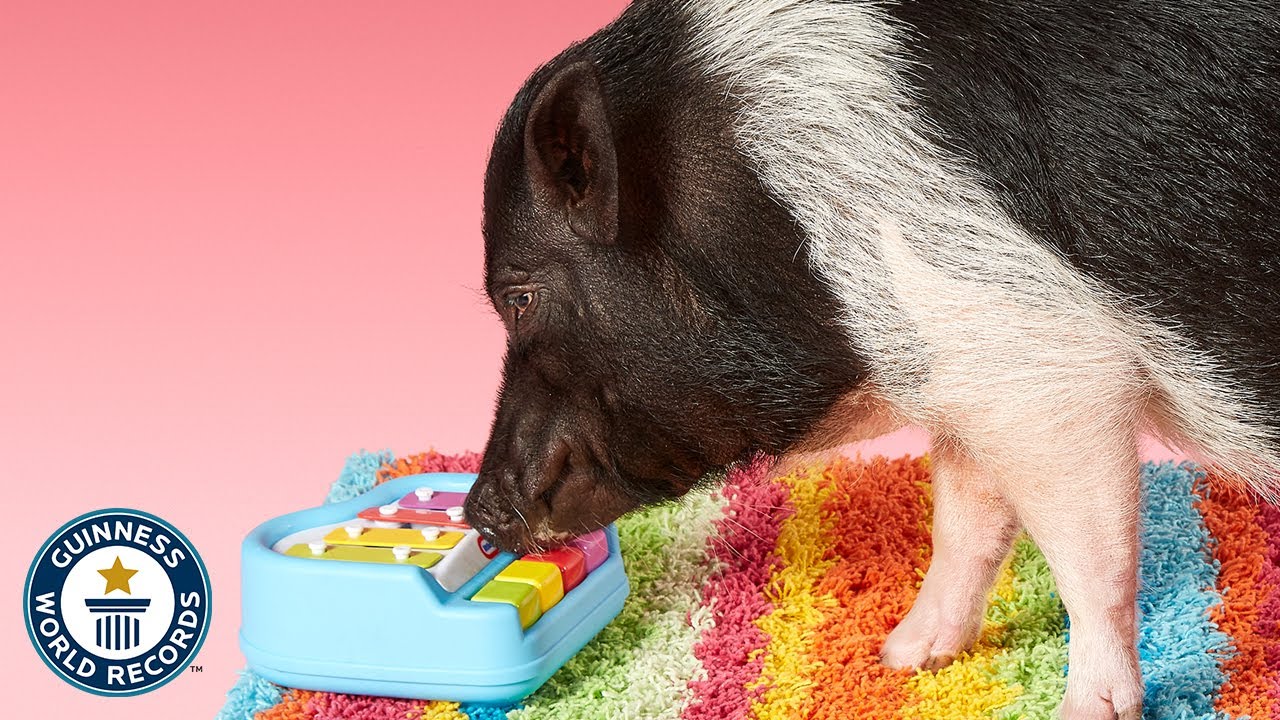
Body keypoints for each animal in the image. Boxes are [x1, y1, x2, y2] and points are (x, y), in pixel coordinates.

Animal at [462, 1, 1280, 717]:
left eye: (520, 297)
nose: (479, 513)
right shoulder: (967, 374)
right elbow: (965, 519)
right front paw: (903, 658)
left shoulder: (1043, 360)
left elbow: (1089, 561)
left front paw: (1085, 711)